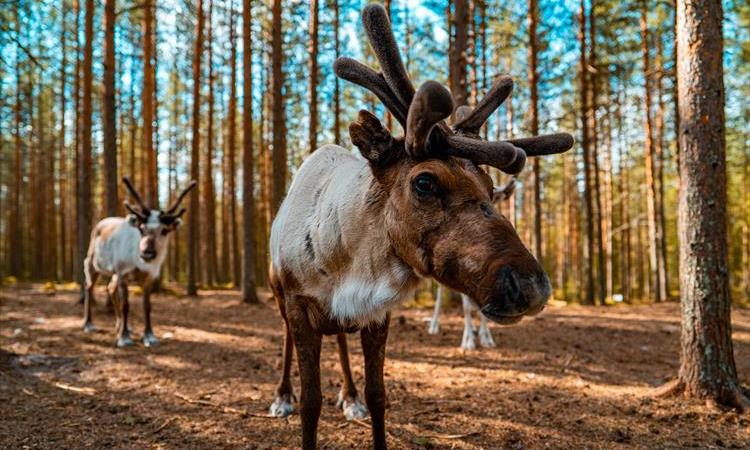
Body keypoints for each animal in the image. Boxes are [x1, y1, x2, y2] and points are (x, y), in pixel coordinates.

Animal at [82, 177, 196, 348]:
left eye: (164, 230)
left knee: (110, 288)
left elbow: (147, 306)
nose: (147, 253)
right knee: (89, 287)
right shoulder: (123, 272)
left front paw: (149, 335)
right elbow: (126, 305)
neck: (139, 262)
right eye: (141, 228)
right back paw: (88, 324)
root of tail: (101, 223)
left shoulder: (149, 277)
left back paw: (121, 326)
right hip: (92, 263)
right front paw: (124, 337)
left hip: (113, 273)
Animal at [427, 179, 517, 350]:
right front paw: (468, 340)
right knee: (440, 294)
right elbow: (467, 307)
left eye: (494, 199)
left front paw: (486, 338)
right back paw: (434, 325)